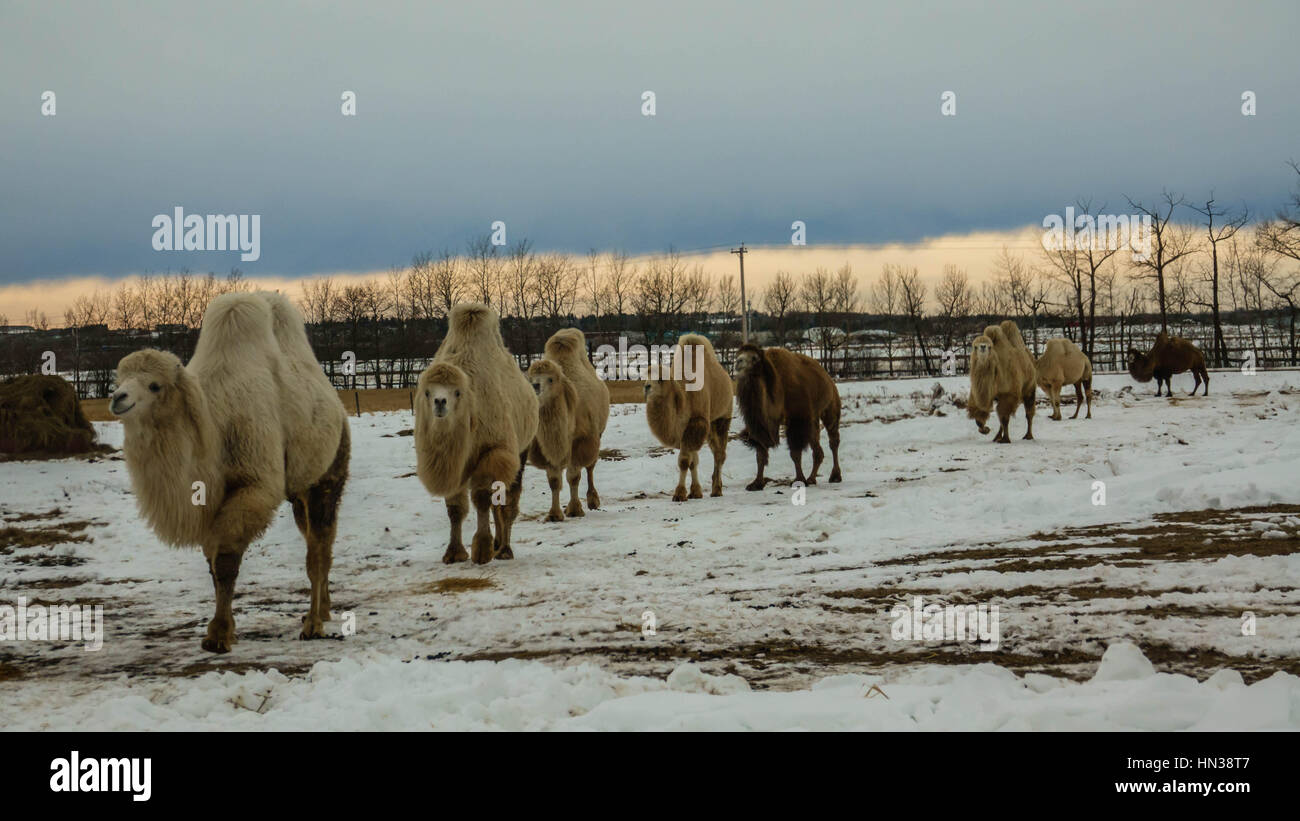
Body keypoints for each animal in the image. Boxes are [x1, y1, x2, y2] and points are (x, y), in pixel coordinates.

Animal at [112, 291, 349, 654]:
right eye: (119, 378)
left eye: (154, 385)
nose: (118, 398)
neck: (214, 424)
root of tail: (338, 406)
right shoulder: (210, 498)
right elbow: (213, 566)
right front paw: (222, 629)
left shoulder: (254, 485)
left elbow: (224, 562)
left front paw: (219, 634)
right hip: (299, 492)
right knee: (315, 536)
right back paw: (324, 608)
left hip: (329, 473)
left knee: (319, 547)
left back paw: (313, 623)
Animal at [415, 303, 538, 564]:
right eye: (428, 392)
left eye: (457, 393)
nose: (440, 402)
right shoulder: (454, 463)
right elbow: (454, 507)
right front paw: (454, 552)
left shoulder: (493, 451)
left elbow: (482, 498)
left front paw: (482, 549)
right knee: (497, 502)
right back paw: (499, 543)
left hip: (522, 450)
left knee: (508, 500)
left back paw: (505, 549)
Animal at [526, 328, 611, 521]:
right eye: (531, 378)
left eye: (550, 379)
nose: (535, 386)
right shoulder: (545, 448)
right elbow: (554, 481)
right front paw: (554, 514)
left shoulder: (580, 441)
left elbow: (573, 476)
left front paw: (574, 509)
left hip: (597, 434)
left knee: (590, 466)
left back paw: (593, 500)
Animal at [644, 334, 733, 501]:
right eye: (644, 377)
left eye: (660, 379)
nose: (647, 387)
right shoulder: (685, 430)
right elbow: (693, 462)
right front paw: (695, 492)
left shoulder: (696, 422)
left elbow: (684, 461)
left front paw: (679, 494)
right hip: (709, 425)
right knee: (715, 450)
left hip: (722, 417)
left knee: (720, 454)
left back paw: (717, 490)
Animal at [733, 343, 842, 490]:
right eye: (738, 355)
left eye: (754, 358)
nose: (738, 362)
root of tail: (828, 377)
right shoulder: (760, 425)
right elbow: (760, 454)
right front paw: (756, 483)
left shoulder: (797, 420)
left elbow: (795, 453)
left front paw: (799, 480)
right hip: (813, 418)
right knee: (818, 449)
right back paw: (812, 478)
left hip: (830, 406)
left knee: (833, 440)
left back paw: (835, 476)